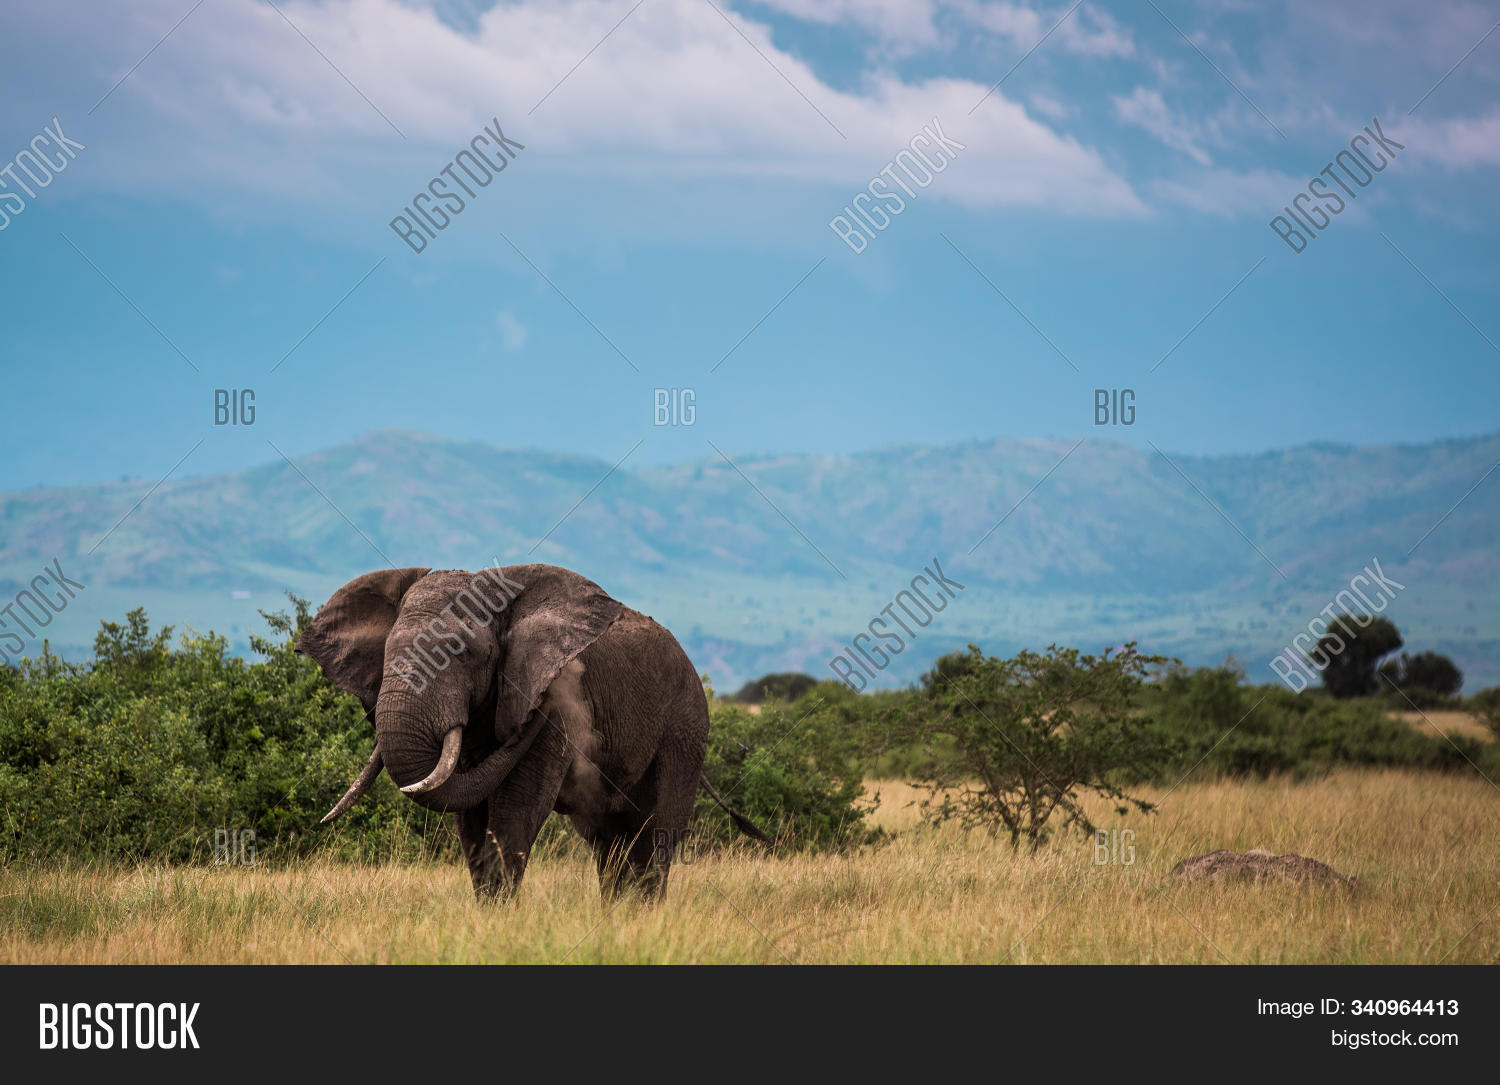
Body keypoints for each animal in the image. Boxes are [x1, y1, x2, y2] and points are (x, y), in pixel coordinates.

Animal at [296, 564, 768, 902]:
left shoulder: (552, 701)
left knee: (656, 835)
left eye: (464, 653)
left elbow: (515, 810)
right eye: (388, 654)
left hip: (684, 726)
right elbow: (471, 818)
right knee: (608, 842)